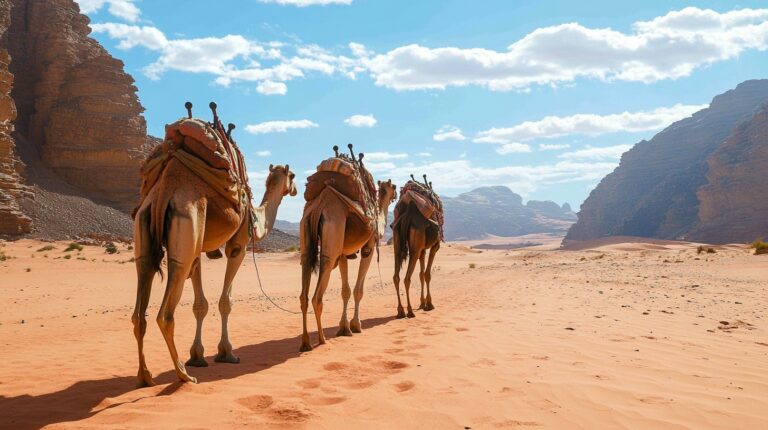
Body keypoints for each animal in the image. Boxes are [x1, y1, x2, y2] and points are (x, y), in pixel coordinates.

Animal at [132, 160, 296, 387]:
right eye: (293, 175)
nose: (296, 190)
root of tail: (164, 189)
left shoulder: (199, 250)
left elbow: (200, 305)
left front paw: (197, 356)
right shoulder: (238, 246)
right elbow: (225, 302)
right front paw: (227, 353)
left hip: (145, 233)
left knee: (139, 311)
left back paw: (145, 375)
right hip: (185, 237)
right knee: (164, 314)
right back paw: (183, 375)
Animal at [298, 150, 396, 352]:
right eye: (394, 187)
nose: (396, 194)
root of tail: (321, 204)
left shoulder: (343, 254)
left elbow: (345, 290)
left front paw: (343, 328)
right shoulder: (368, 248)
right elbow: (358, 290)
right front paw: (356, 325)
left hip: (306, 233)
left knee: (304, 293)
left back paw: (305, 342)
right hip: (333, 232)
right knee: (317, 295)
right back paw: (321, 340)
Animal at [392, 176, 442, 318]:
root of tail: (407, 216)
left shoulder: (422, 250)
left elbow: (421, 274)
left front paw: (422, 303)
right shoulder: (434, 247)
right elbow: (427, 274)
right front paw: (429, 304)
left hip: (397, 246)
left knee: (396, 277)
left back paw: (400, 310)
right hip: (415, 249)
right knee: (406, 278)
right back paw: (409, 311)